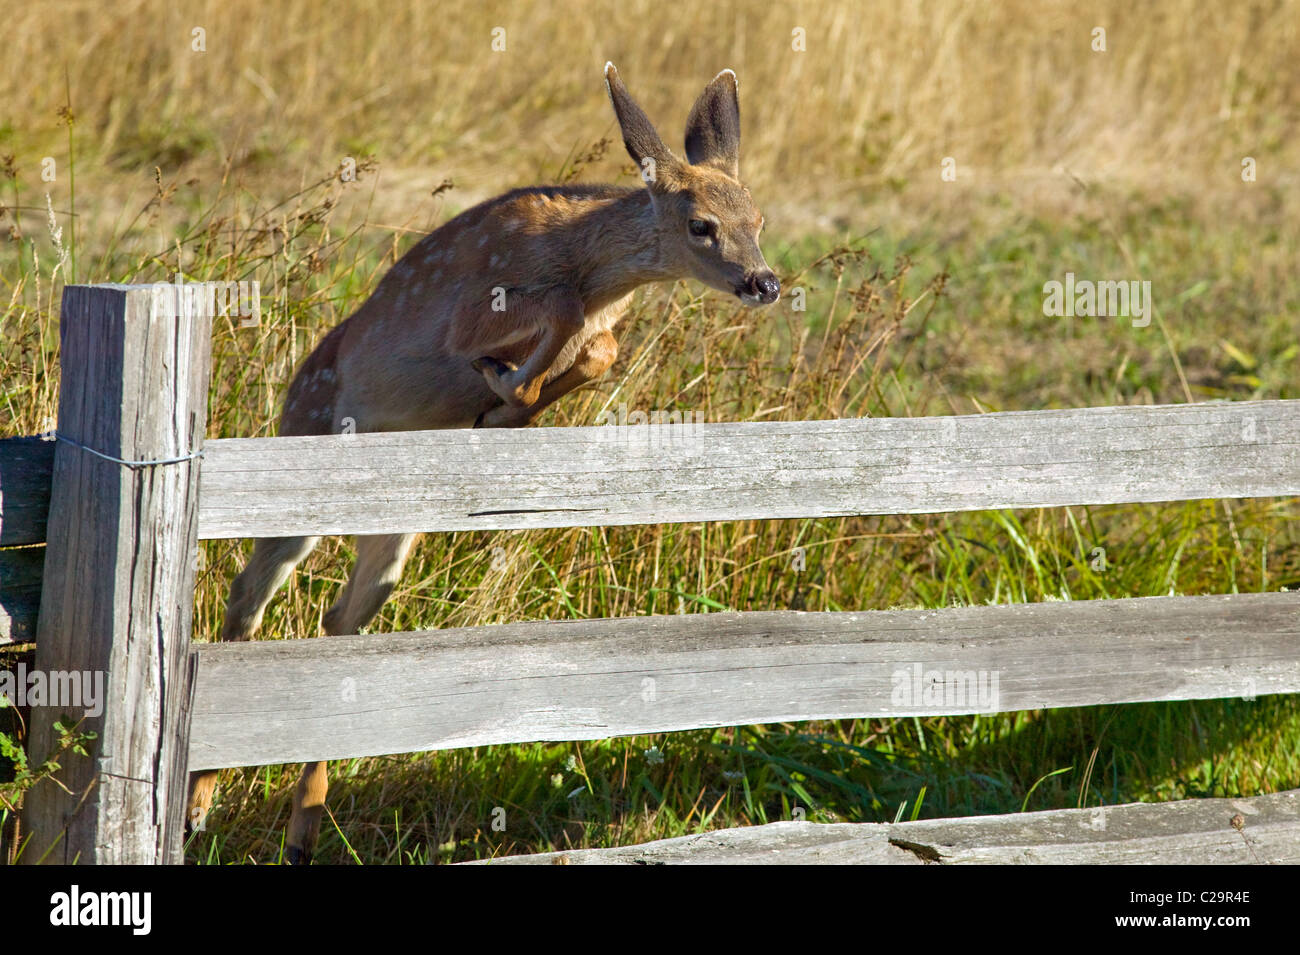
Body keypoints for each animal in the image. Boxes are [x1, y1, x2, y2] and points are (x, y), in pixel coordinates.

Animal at [186, 63, 780, 864]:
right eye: (702, 224)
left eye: (759, 219)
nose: (765, 283)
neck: (586, 266)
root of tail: (293, 390)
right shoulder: (473, 310)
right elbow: (548, 321)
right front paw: (502, 383)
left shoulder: (594, 326)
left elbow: (599, 348)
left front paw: (504, 403)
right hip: (301, 468)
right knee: (248, 594)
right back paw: (199, 807)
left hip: (396, 532)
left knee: (341, 618)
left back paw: (304, 828)